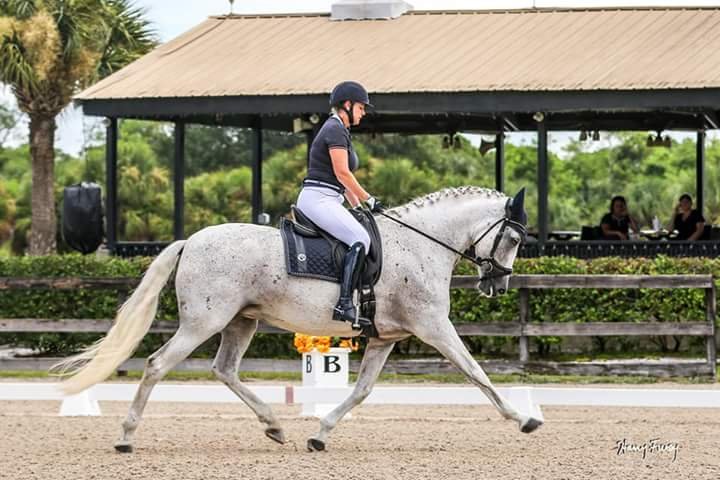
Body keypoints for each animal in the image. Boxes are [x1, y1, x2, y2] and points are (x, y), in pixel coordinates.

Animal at [53, 186, 542, 453]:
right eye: (514, 238)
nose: (498, 284)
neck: (422, 244)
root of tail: (190, 241)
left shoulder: (384, 338)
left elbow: (362, 391)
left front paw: (320, 434)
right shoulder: (434, 327)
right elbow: (477, 373)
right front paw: (523, 418)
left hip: (241, 322)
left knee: (224, 369)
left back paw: (274, 425)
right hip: (203, 323)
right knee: (157, 366)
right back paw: (125, 437)